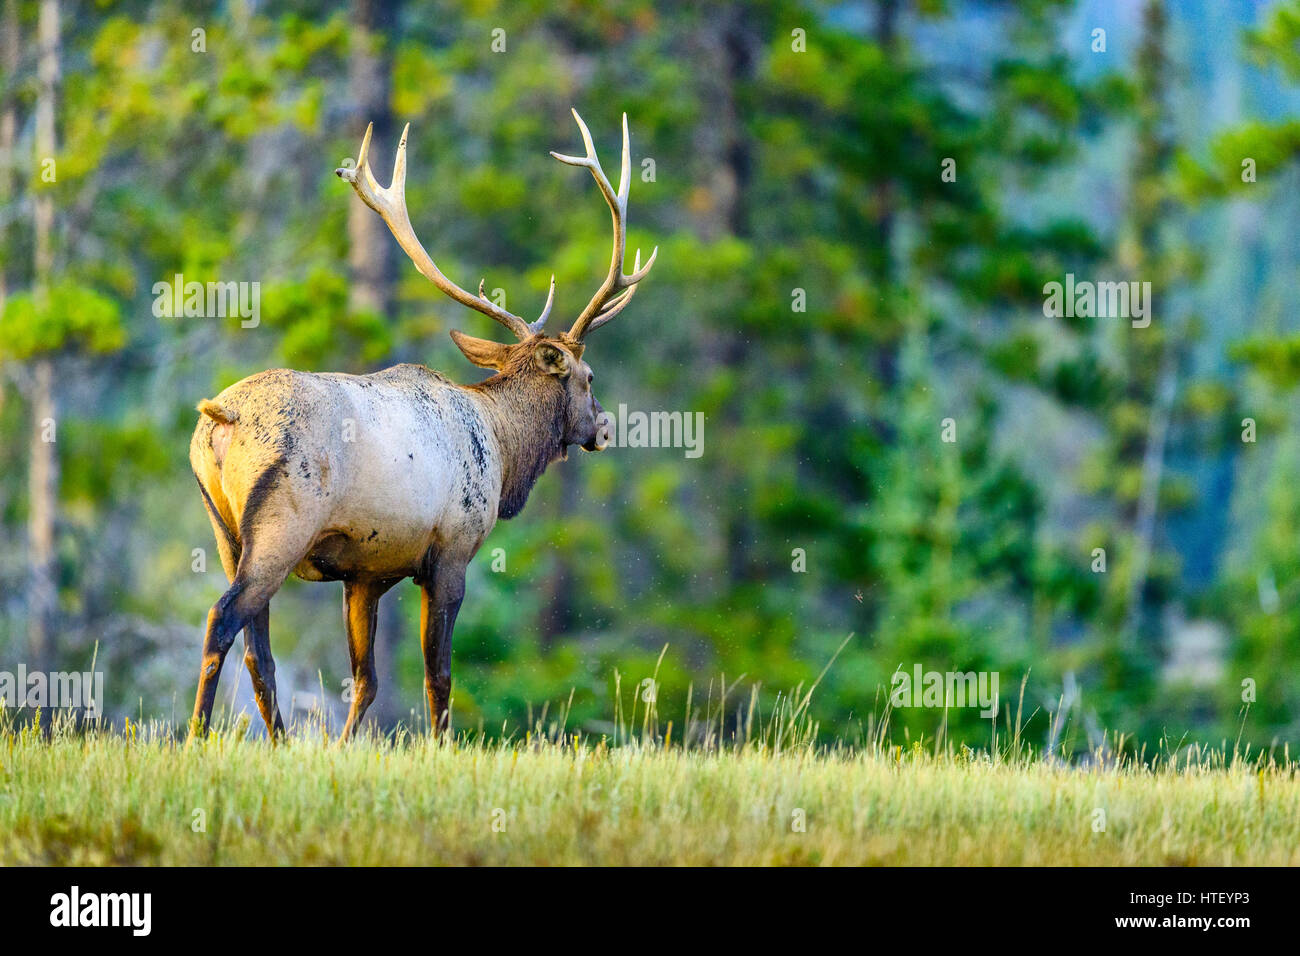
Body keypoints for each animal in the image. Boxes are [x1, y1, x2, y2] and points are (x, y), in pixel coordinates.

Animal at [187, 110, 656, 741]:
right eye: (587, 375)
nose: (603, 427)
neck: (505, 452)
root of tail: (223, 416)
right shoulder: (451, 550)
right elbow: (439, 675)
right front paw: (441, 745)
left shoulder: (366, 573)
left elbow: (366, 680)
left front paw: (342, 747)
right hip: (283, 522)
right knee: (223, 616)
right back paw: (195, 733)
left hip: (225, 532)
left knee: (259, 649)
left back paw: (280, 742)